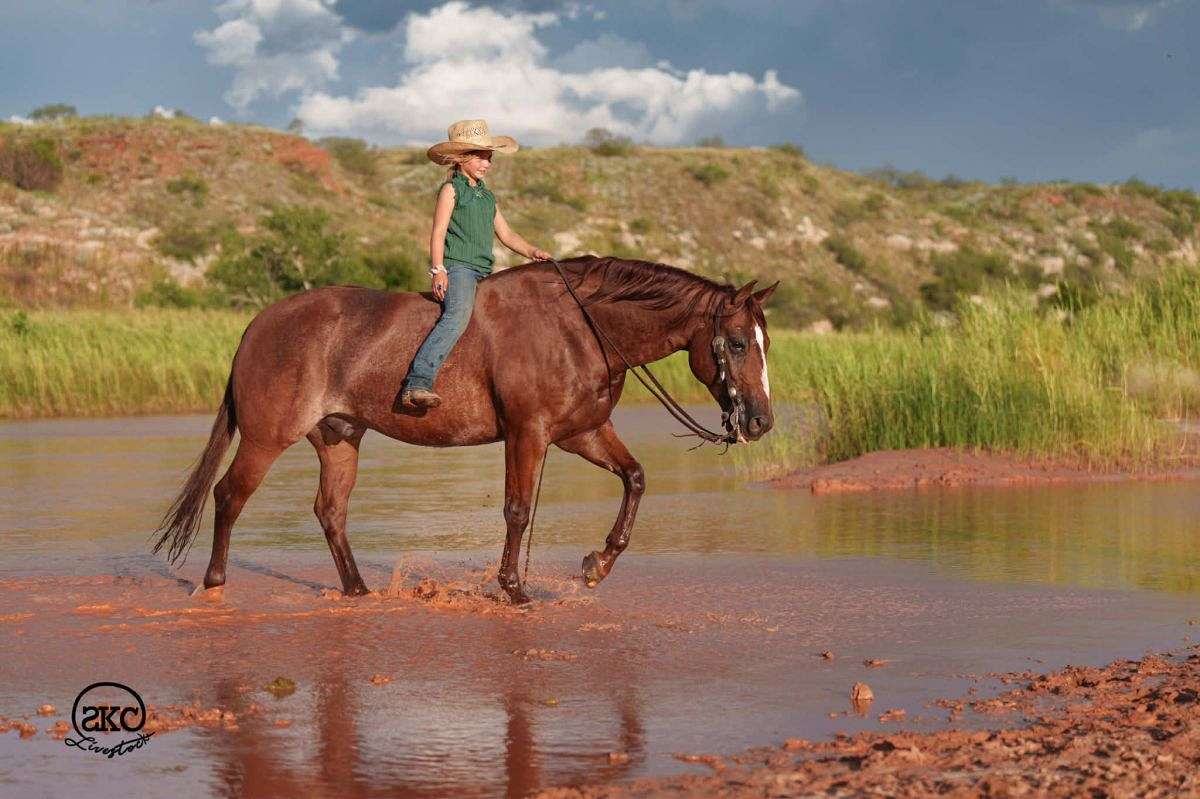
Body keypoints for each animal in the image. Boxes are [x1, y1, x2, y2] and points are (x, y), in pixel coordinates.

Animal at [152, 256, 778, 604]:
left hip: (339, 437)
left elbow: (636, 478)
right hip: (266, 438)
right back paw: (214, 582)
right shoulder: (528, 433)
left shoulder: (581, 432)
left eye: (764, 341)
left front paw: (596, 566)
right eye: (736, 343)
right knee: (229, 495)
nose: (761, 420)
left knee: (330, 511)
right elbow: (517, 511)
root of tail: (257, 325)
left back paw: (357, 590)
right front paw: (514, 589)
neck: (579, 326)